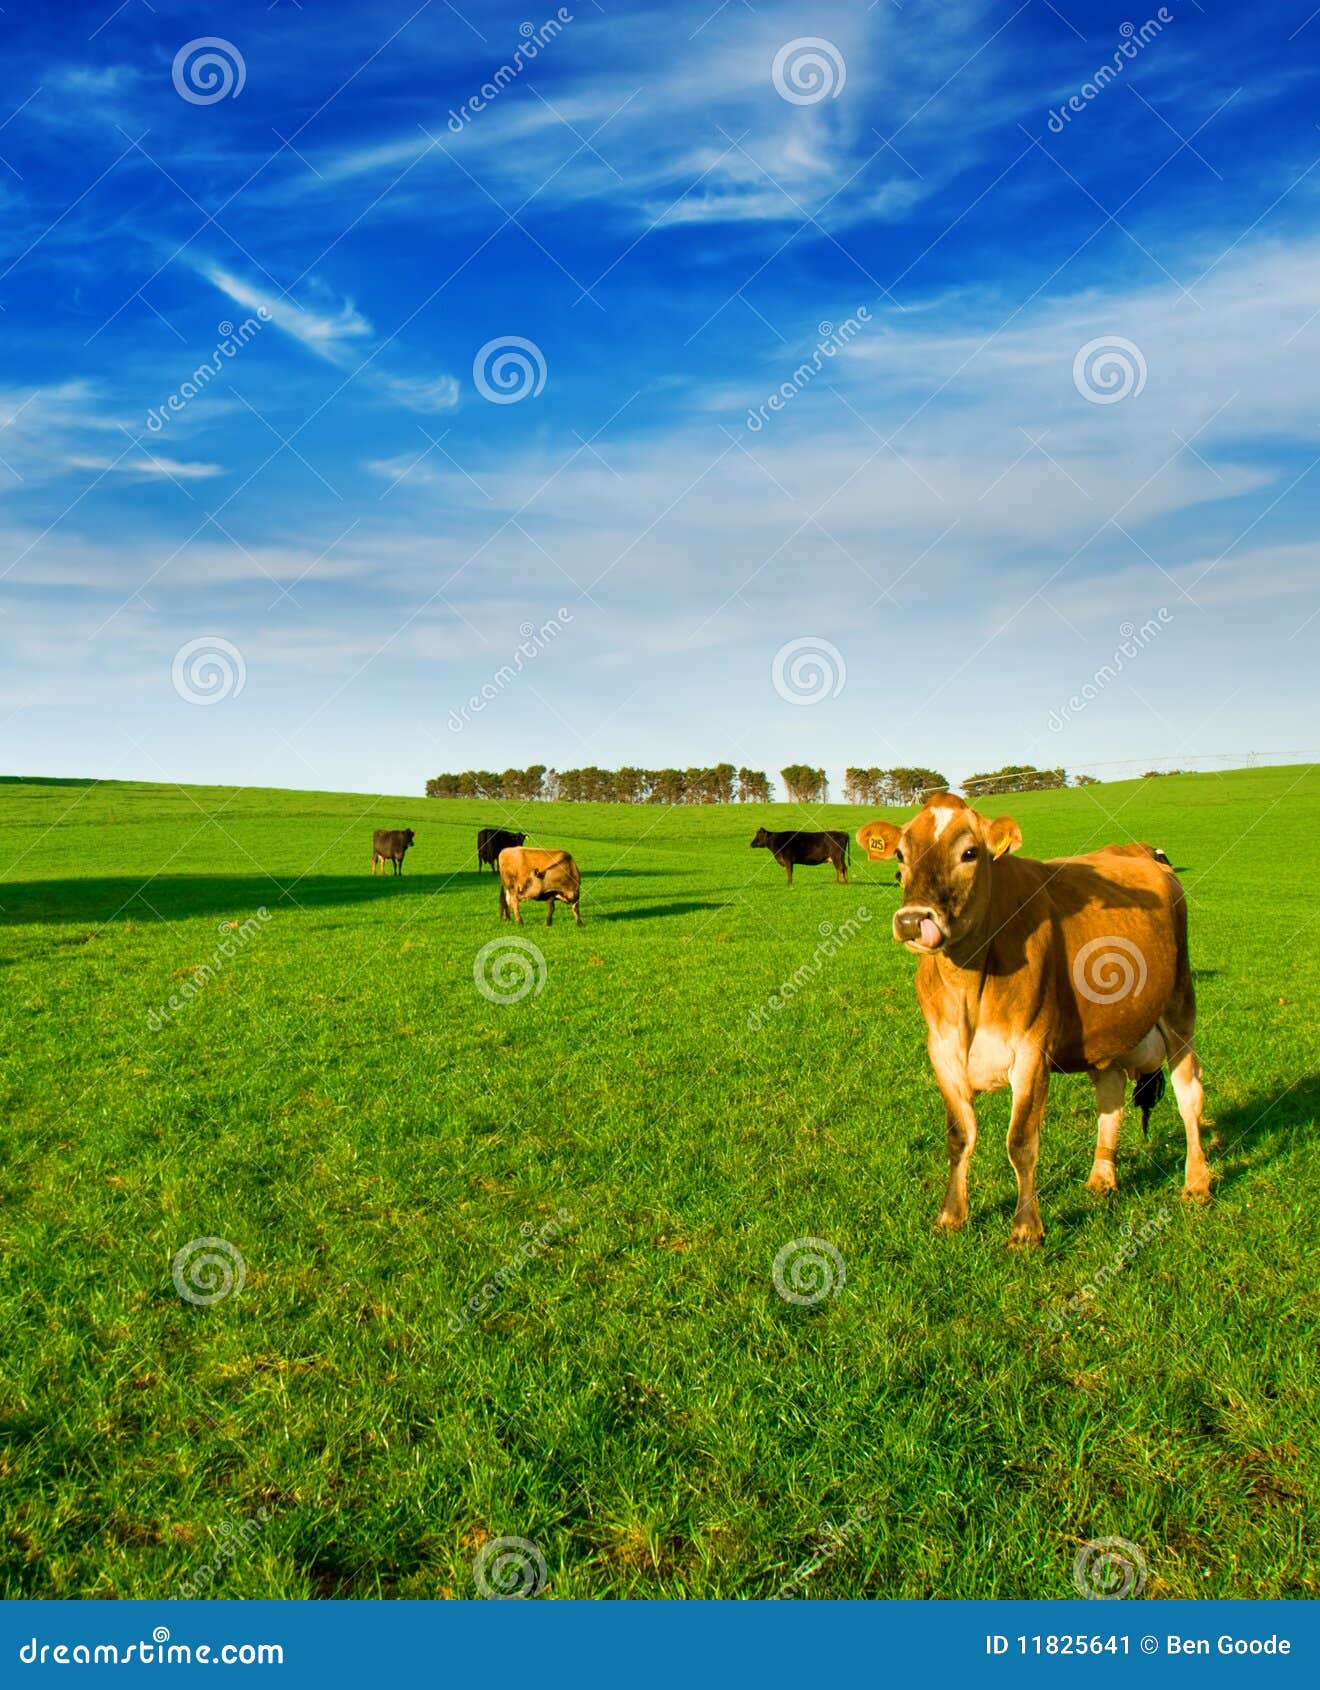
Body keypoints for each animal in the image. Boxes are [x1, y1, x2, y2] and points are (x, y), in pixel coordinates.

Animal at [856, 791, 1211, 1246]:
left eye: (969, 853)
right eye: (900, 855)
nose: (913, 921)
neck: (968, 981)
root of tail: (1140, 850)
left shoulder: (1031, 1051)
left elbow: (1021, 1142)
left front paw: (1026, 1229)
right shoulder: (943, 1051)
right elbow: (959, 1137)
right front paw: (951, 1215)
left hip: (1180, 1003)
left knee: (1189, 1095)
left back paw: (1197, 1183)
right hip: (1110, 1032)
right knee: (1110, 1096)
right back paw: (1102, 1177)